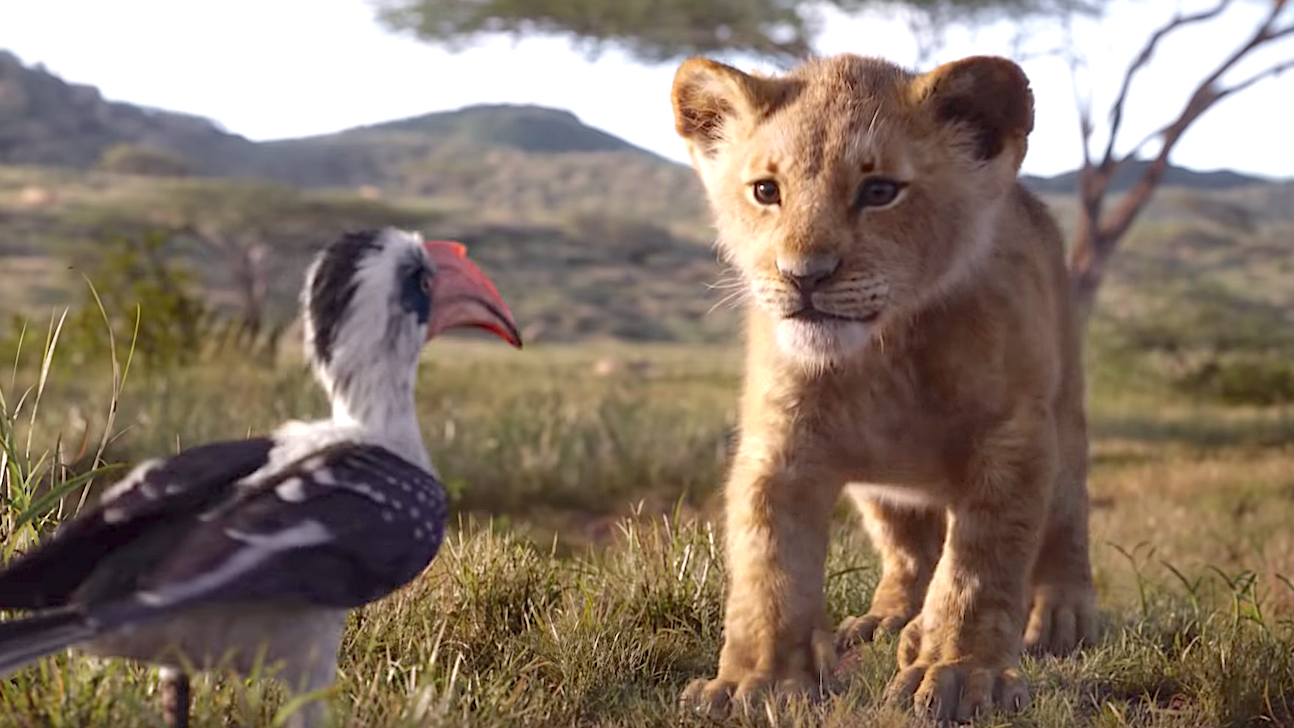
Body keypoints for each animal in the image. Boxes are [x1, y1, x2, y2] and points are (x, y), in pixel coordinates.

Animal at [669, 53, 1097, 721]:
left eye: (879, 192)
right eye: (766, 190)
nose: (804, 276)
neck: (883, 352)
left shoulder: (1012, 437)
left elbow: (979, 567)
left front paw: (957, 673)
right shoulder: (779, 446)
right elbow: (769, 566)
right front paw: (755, 682)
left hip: (1066, 415)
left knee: (1067, 514)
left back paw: (1059, 615)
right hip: (880, 492)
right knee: (909, 553)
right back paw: (890, 620)